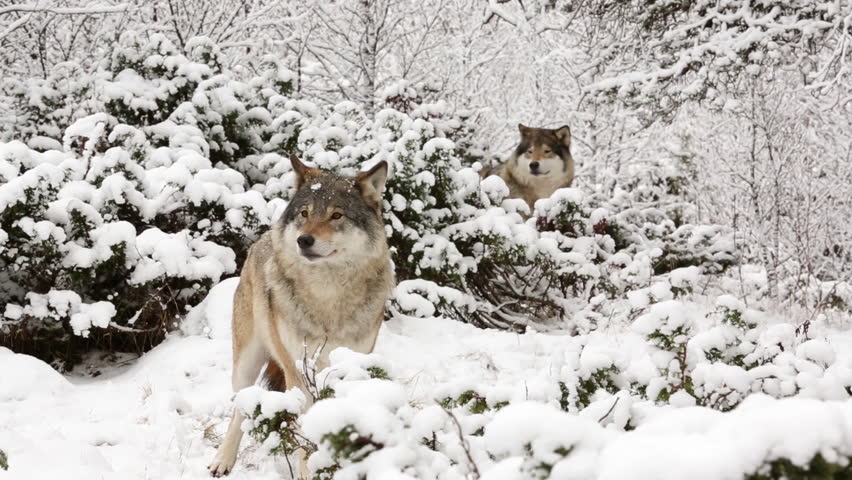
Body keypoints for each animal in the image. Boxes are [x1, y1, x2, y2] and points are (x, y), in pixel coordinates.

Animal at [208, 155, 395, 477]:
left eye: (336, 216)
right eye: (305, 213)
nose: (303, 240)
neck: (328, 298)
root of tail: (263, 238)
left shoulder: (352, 365)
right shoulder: (299, 371)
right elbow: (308, 431)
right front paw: (312, 470)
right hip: (247, 364)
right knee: (239, 410)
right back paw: (223, 460)